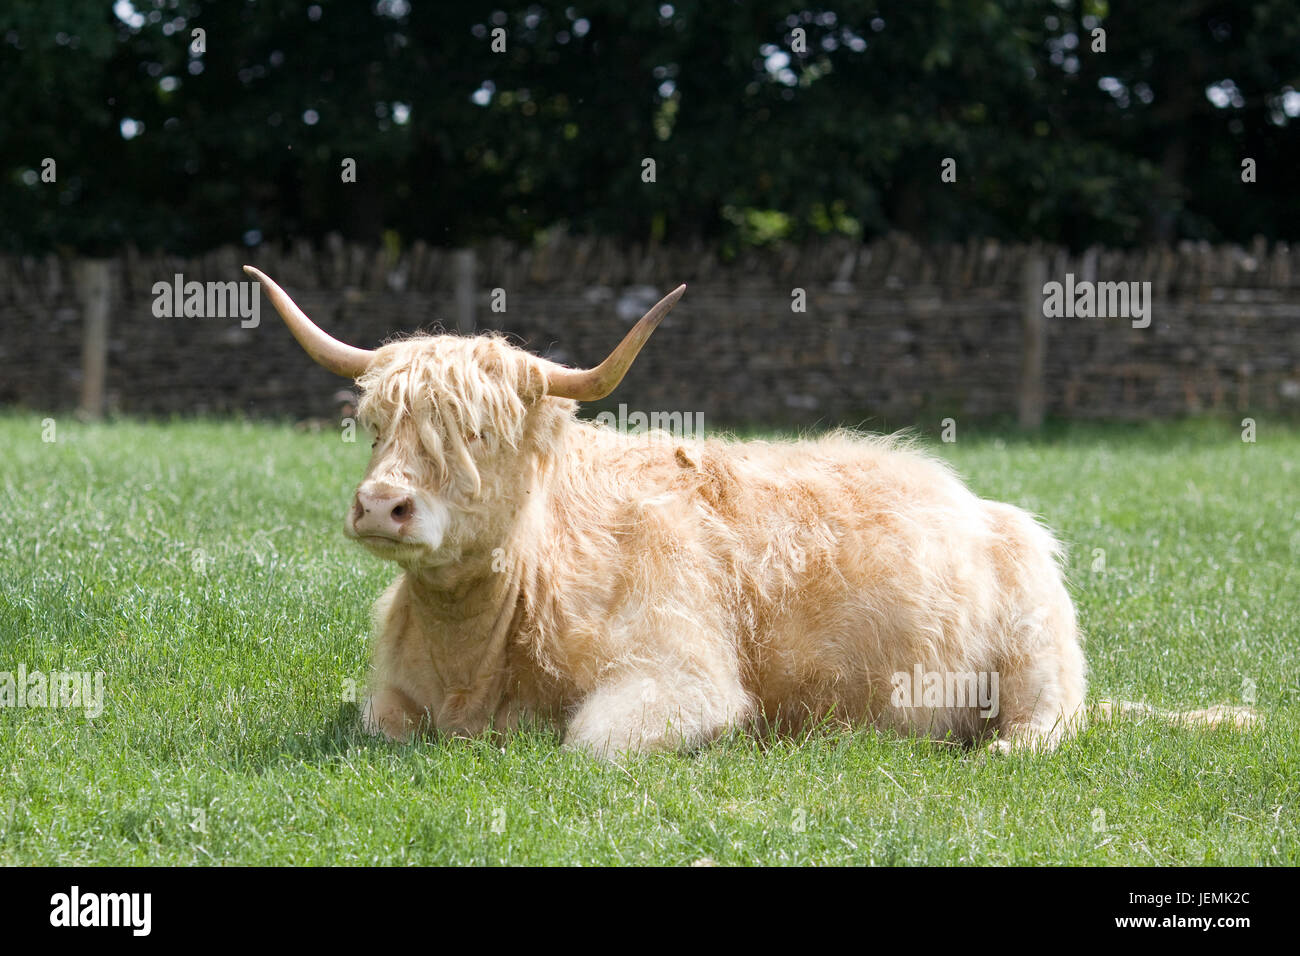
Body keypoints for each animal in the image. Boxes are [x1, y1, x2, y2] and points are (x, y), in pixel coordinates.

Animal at [244, 265, 1255, 758]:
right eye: (375, 424)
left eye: (480, 432)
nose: (382, 505)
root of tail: (978, 502)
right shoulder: (391, 700)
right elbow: (376, 721)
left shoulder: (680, 680)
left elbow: (586, 744)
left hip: (1039, 653)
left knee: (1045, 727)